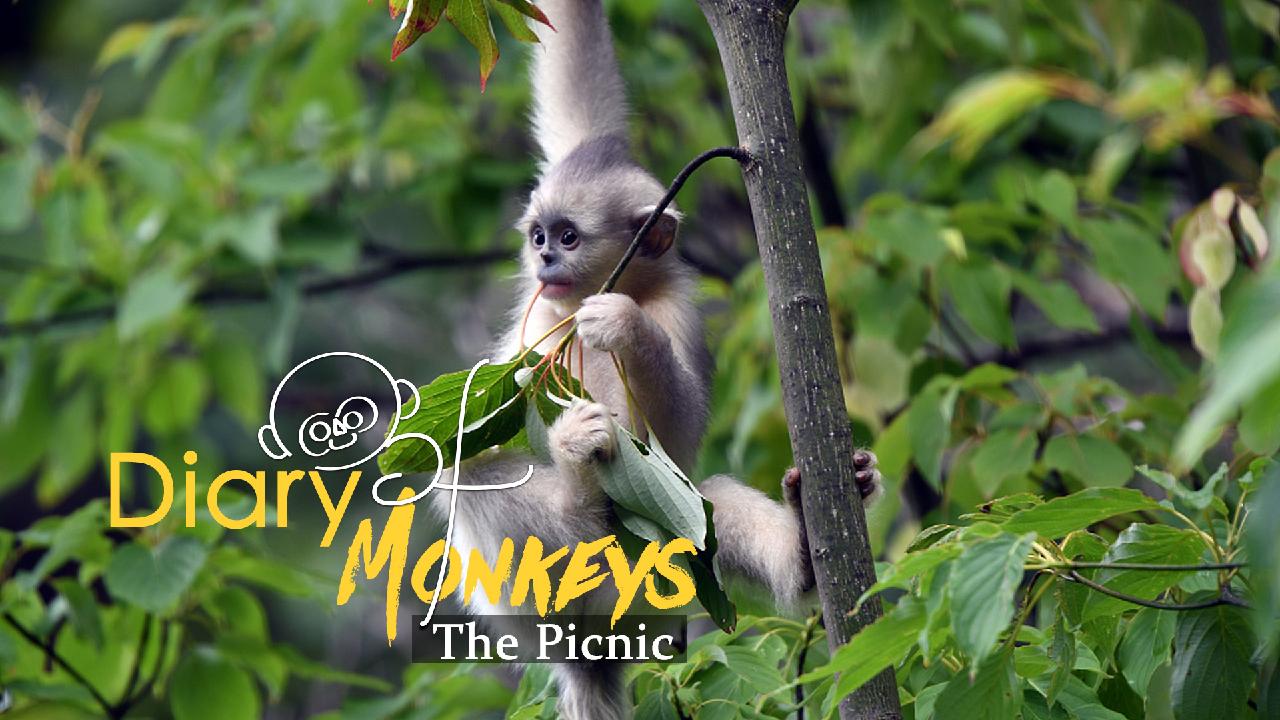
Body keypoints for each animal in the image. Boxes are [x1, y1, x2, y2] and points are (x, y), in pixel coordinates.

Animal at [422, 1, 884, 717]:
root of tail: (586, 652)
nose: (543, 257)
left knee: (702, 501)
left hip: (648, 584)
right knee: (462, 469)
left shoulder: (678, 313)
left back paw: (806, 547)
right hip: (527, 604)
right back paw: (578, 491)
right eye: (539, 235)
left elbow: (673, 429)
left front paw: (623, 327)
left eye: (569, 237)